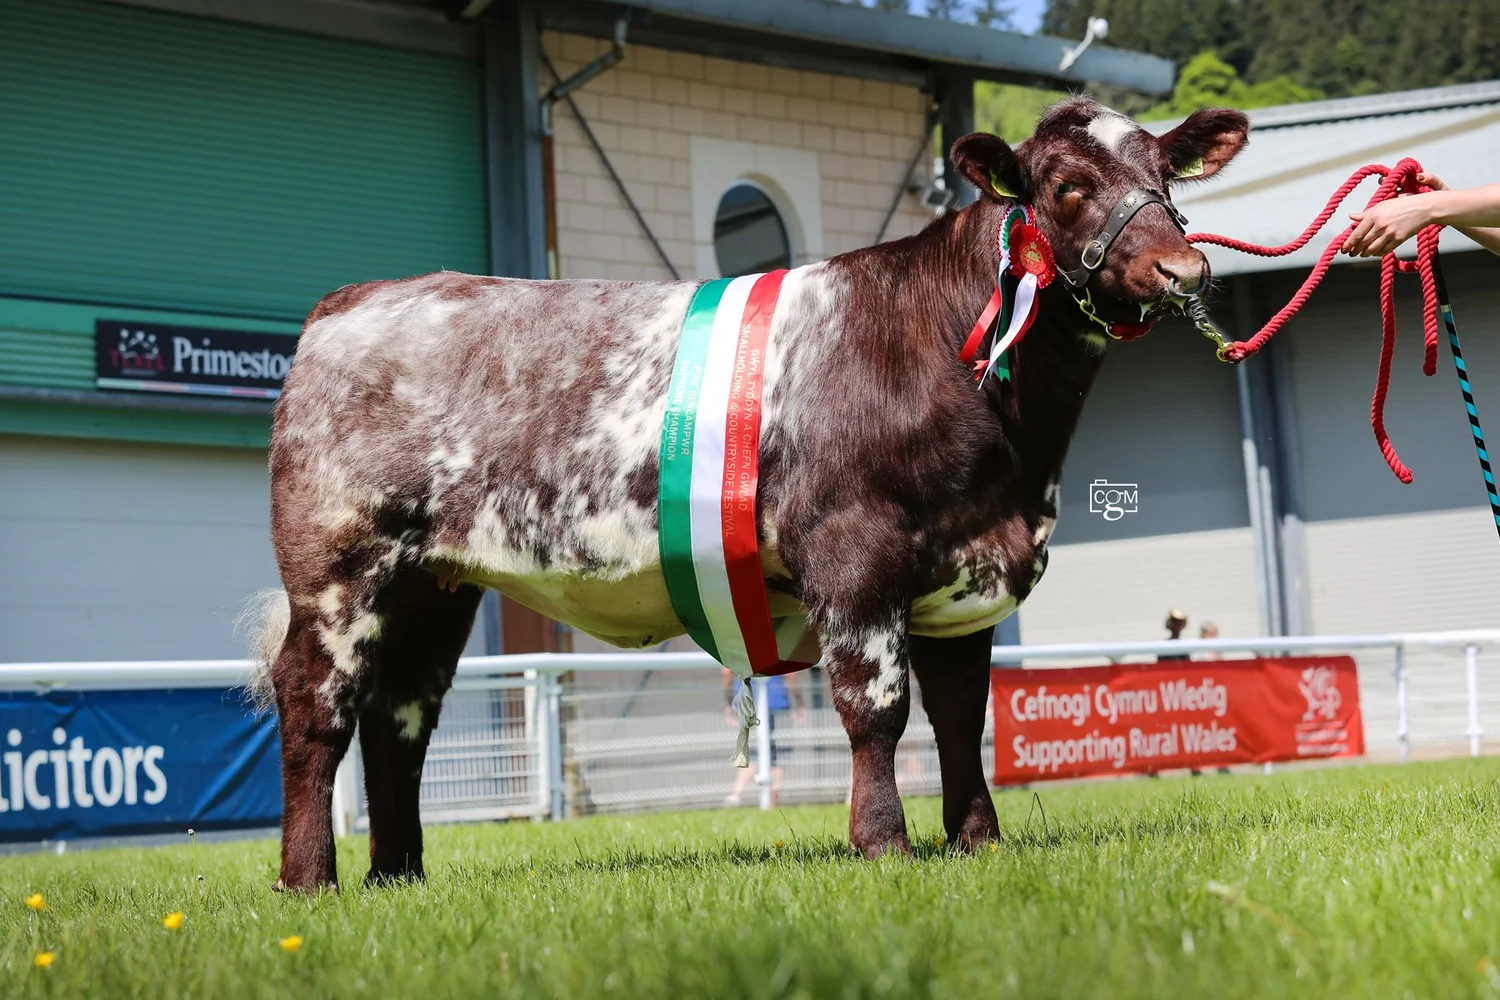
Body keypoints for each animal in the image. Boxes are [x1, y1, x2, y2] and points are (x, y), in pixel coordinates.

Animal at [248, 98, 1249, 891]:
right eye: (1069, 185)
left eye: (1165, 172)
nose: (1183, 271)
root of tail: (355, 301)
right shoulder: (855, 550)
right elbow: (877, 707)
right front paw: (883, 845)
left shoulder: (968, 570)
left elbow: (963, 715)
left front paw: (979, 843)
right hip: (339, 564)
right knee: (318, 702)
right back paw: (311, 879)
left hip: (434, 582)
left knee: (400, 715)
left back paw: (398, 874)